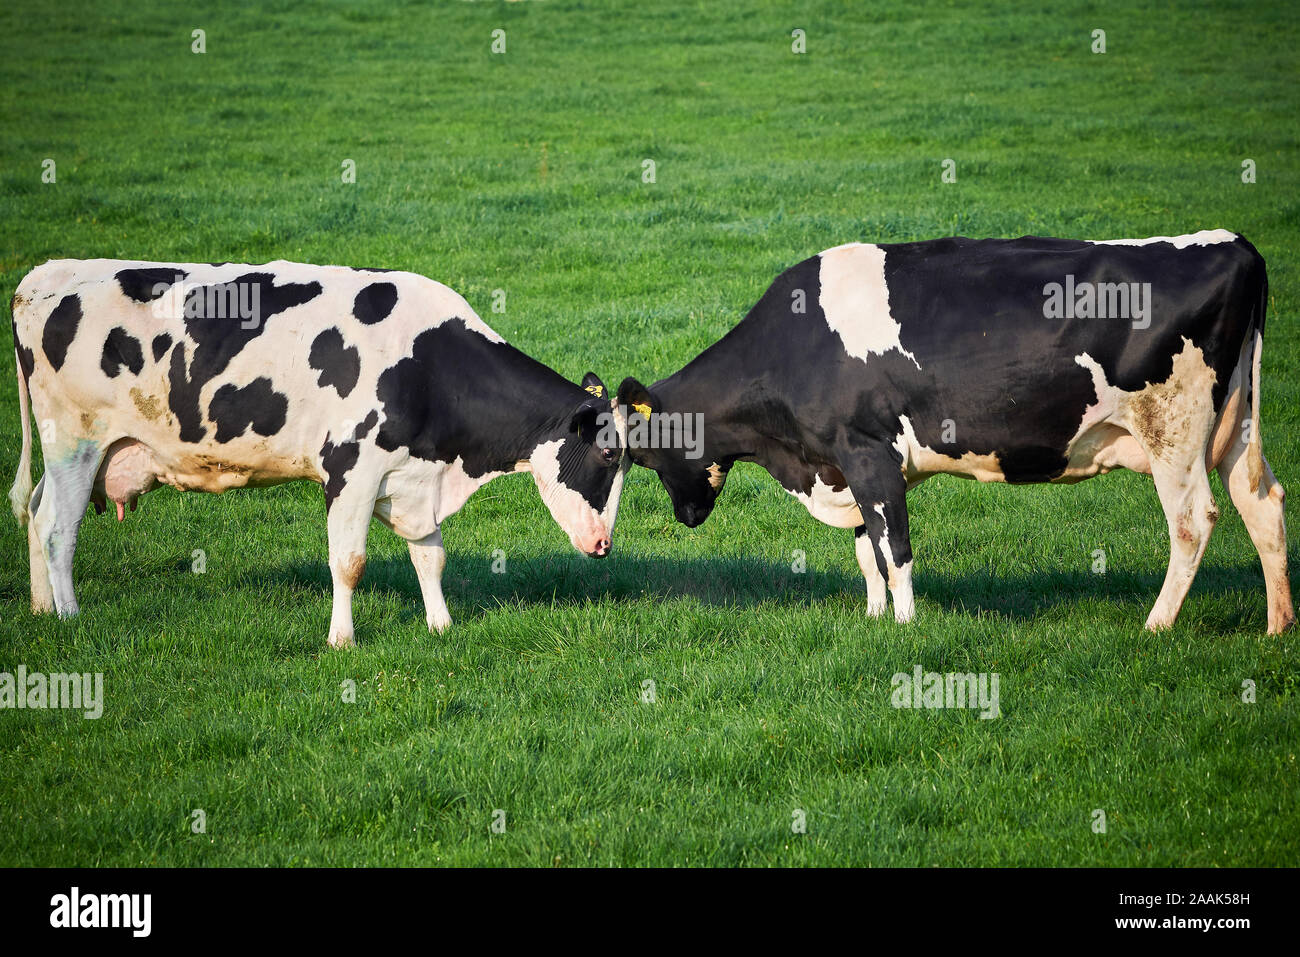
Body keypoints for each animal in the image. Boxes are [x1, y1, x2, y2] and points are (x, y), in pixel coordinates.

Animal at [8, 259, 628, 648]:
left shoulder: (414, 474)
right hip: (74, 440)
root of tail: (44, 276)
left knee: (35, 511)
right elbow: (348, 562)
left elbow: (430, 556)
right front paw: (341, 640)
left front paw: (441, 626)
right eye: (606, 458)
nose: (603, 545)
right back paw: (69, 615)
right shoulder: (350, 469)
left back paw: (41, 607)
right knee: (56, 527)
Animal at [617, 230, 1294, 634]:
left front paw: (904, 627)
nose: (685, 516)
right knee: (1262, 505)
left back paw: (1156, 625)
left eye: (645, 458)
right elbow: (867, 550)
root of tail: (1232, 244)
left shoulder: (868, 453)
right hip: (1235, 427)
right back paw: (1276, 626)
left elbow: (894, 549)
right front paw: (873, 617)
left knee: (1193, 520)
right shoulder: (848, 462)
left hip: (1173, 431)